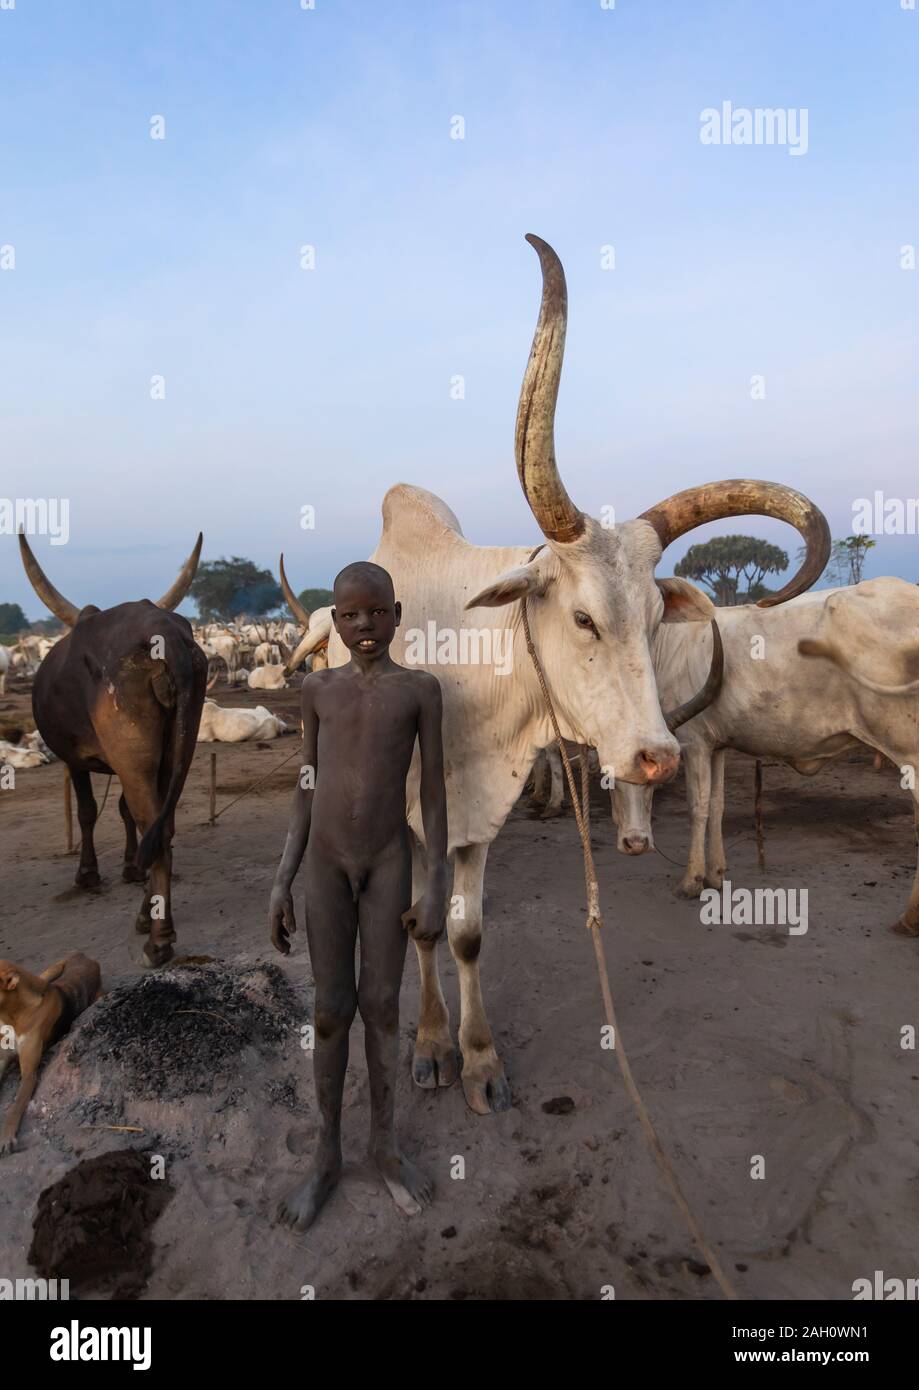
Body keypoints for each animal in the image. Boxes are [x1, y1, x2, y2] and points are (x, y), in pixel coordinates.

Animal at [18, 532, 207, 966]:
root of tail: (166, 637)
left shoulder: (75, 760)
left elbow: (88, 812)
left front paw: (88, 873)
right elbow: (121, 812)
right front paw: (129, 867)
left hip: (135, 760)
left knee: (153, 826)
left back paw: (158, 940)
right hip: (176, 753)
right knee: (161, 826)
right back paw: (146, 915)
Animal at [282, 235, 829, 1113]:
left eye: (654, 618)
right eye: (581, 618)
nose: (655, 757)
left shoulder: (472, 820)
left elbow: (465, 932)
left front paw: (478, 1058)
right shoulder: (412, 818)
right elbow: (418, 925)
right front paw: (428, 1047)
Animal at [611, 578, 919, 933]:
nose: (633, 842)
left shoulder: (694, 742)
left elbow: (698, 809)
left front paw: (691, 881)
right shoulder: (717, 745)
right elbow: (717, 806)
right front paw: (716, 876)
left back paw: (910, 918)